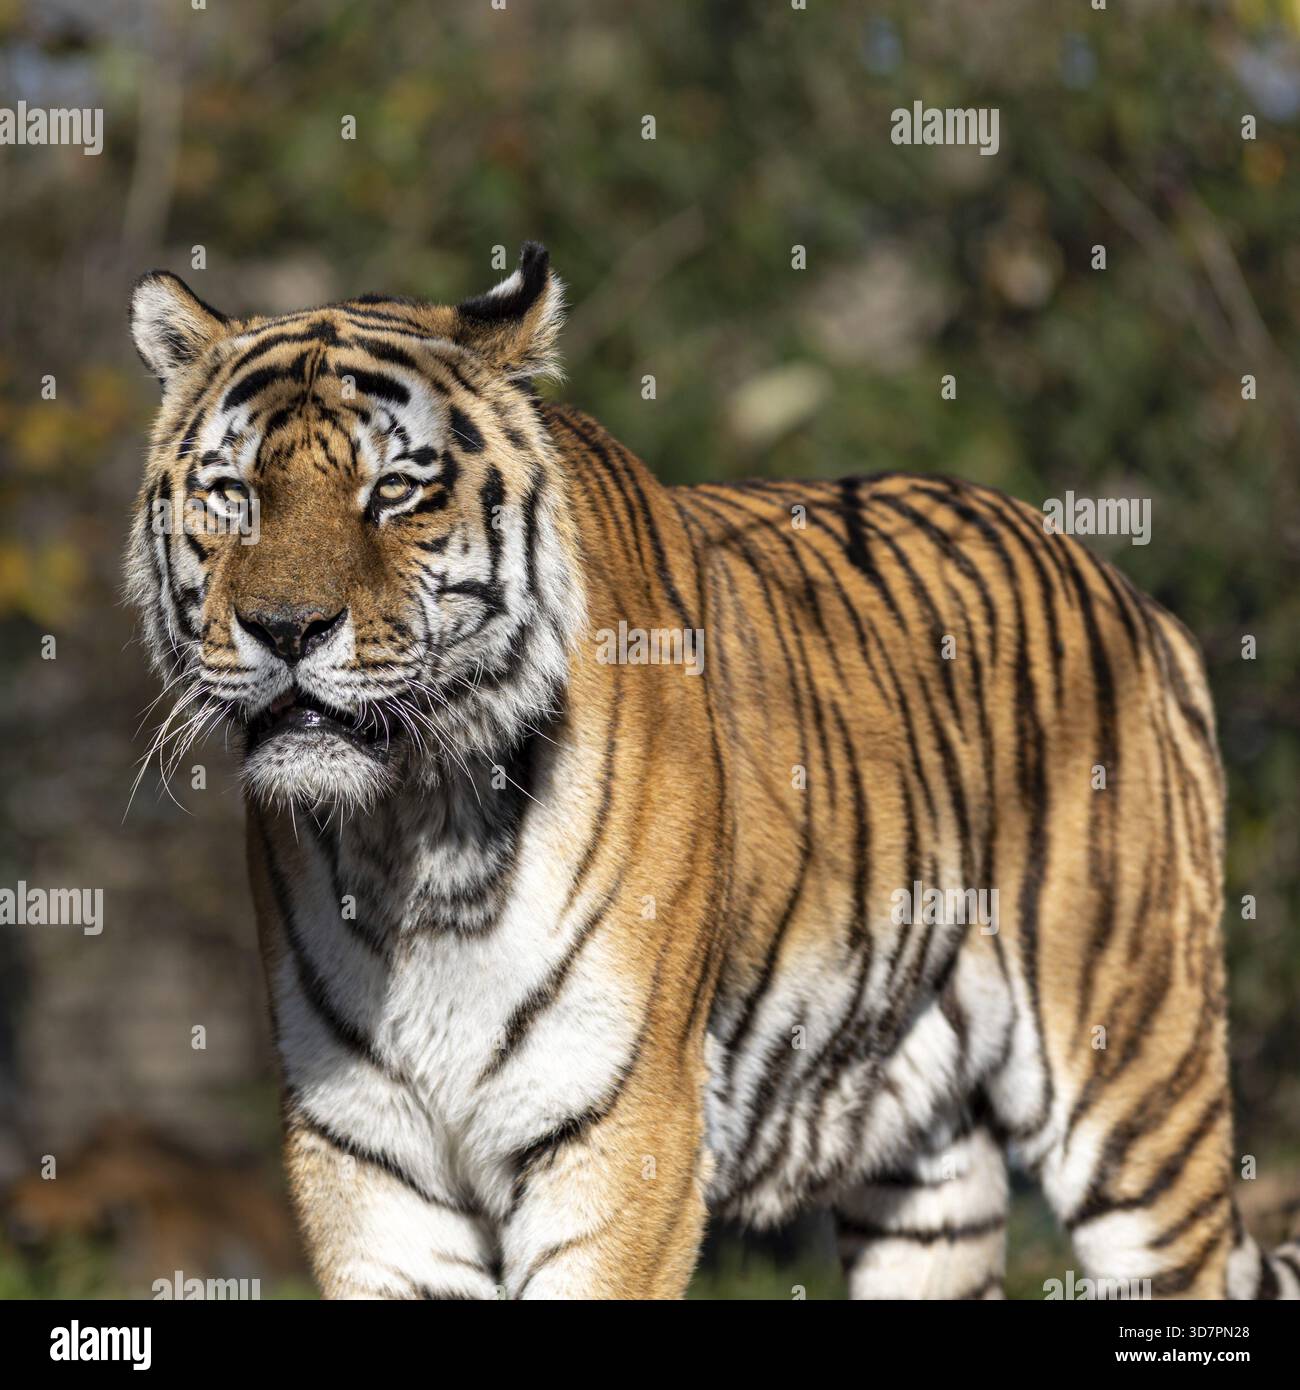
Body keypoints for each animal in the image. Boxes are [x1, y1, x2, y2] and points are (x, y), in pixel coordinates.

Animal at [126, 242, 1300, 1300]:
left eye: (397, 492)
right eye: (231, 494)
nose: (286, 628)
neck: (416, 831)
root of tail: (1120, 584)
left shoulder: (621, 1131)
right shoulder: (367, 1155)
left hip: (1138, 1095)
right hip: (923, 1173)